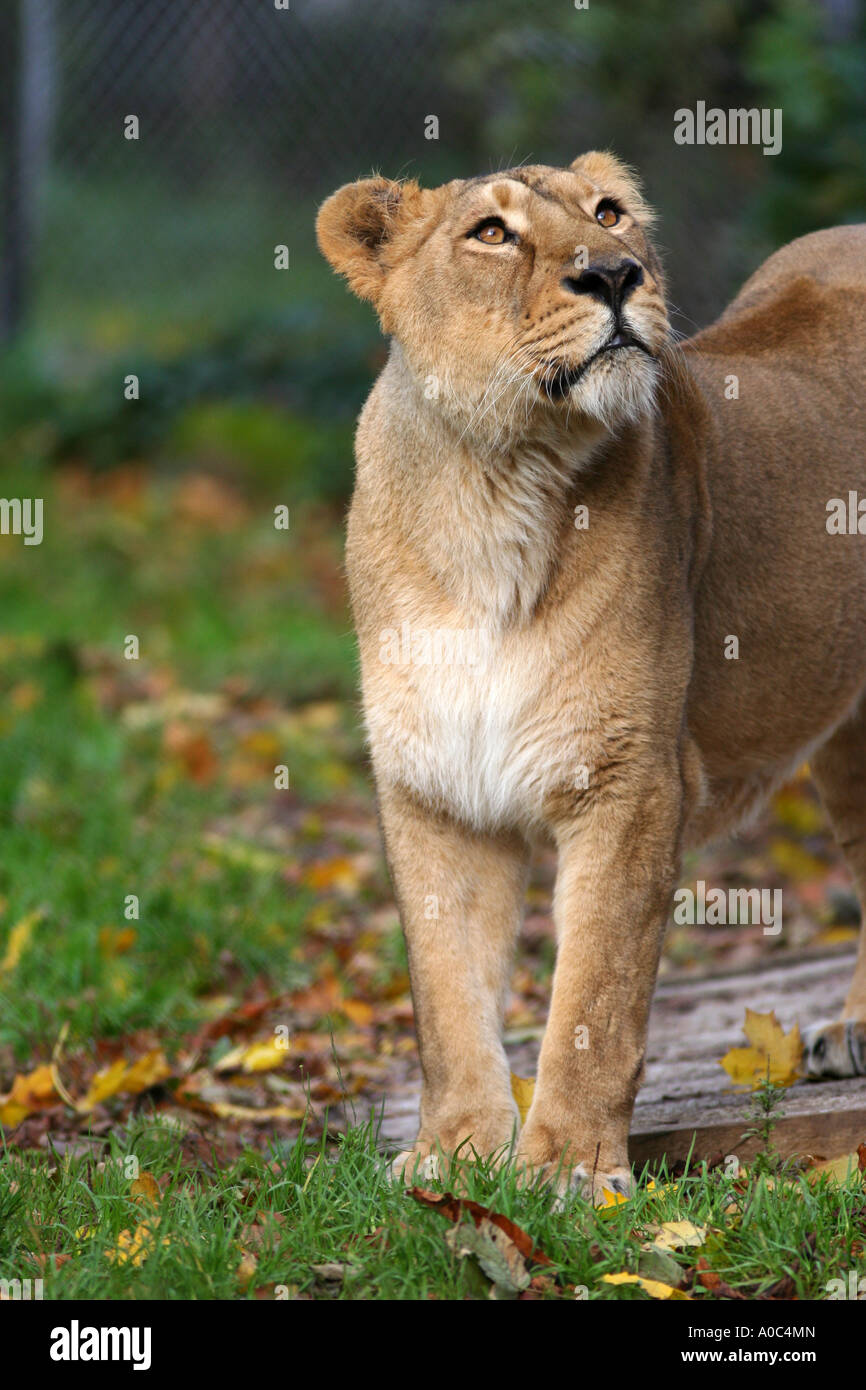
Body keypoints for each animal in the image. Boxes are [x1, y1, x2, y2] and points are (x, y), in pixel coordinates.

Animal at [316, 151, 866, 1200]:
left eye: (609, 215)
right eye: (491, 233)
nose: (613, 274)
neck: (495, 489)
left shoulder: (632, 782)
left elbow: (594, 1001)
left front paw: (569, 1169)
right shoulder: (434, 788)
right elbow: (445, 996)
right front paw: (453, 1151)